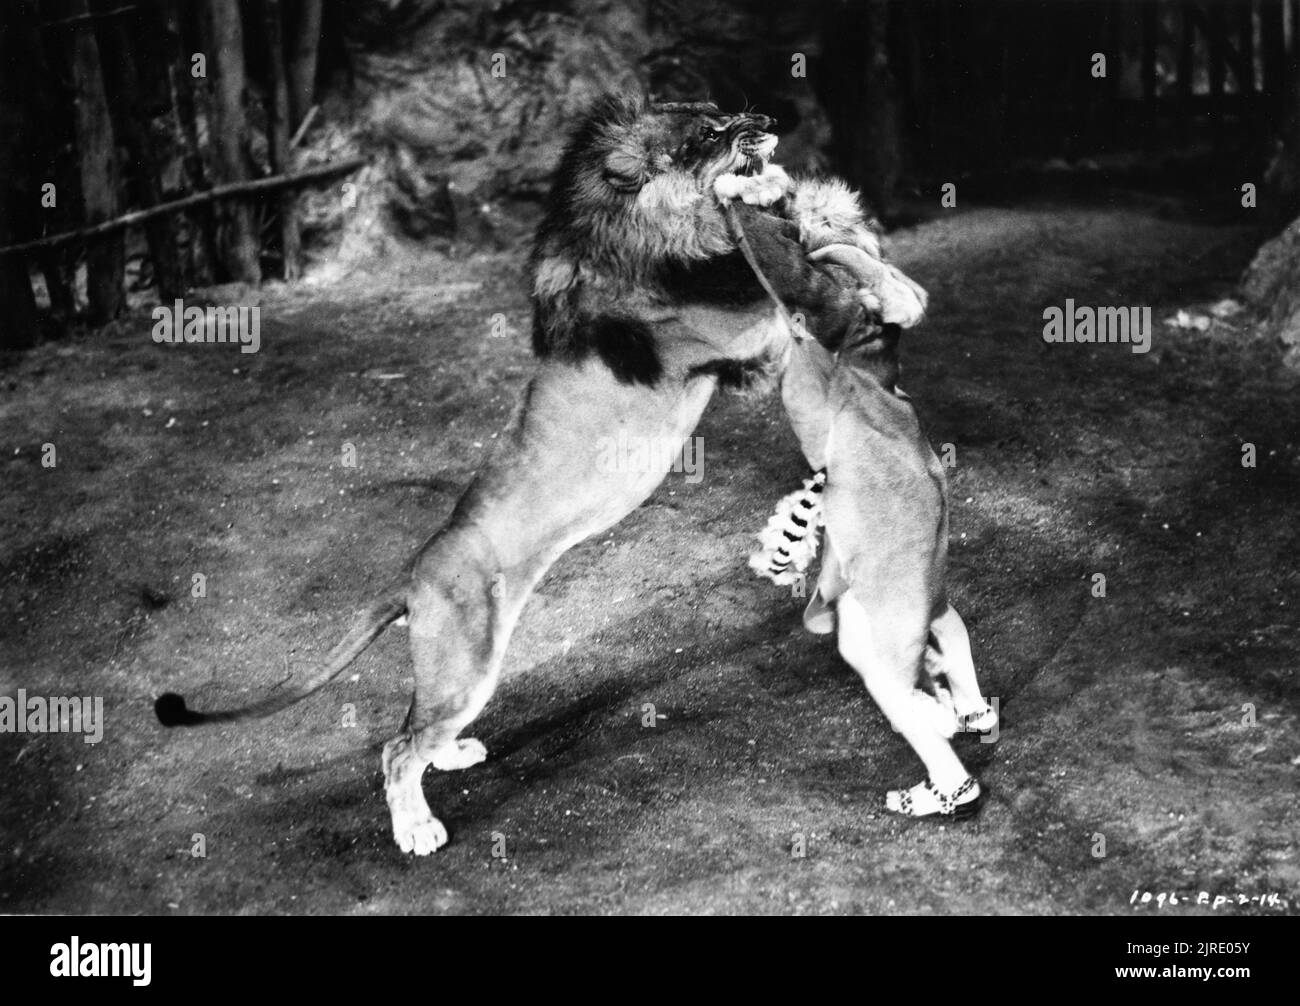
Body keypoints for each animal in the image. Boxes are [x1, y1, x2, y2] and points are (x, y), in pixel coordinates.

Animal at [155, 96, 926, 853]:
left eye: (725, 109)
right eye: (707, 133)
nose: (765, 120)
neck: (652, 237)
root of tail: (413, 573)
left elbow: (830, 250)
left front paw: (878, 266)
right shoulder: (746, 337)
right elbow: (817, 264)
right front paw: (884, 281)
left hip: (463, 667)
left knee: (414, 730)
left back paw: (453, 755)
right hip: (465, 661)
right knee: (396, 749)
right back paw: (417, 828)